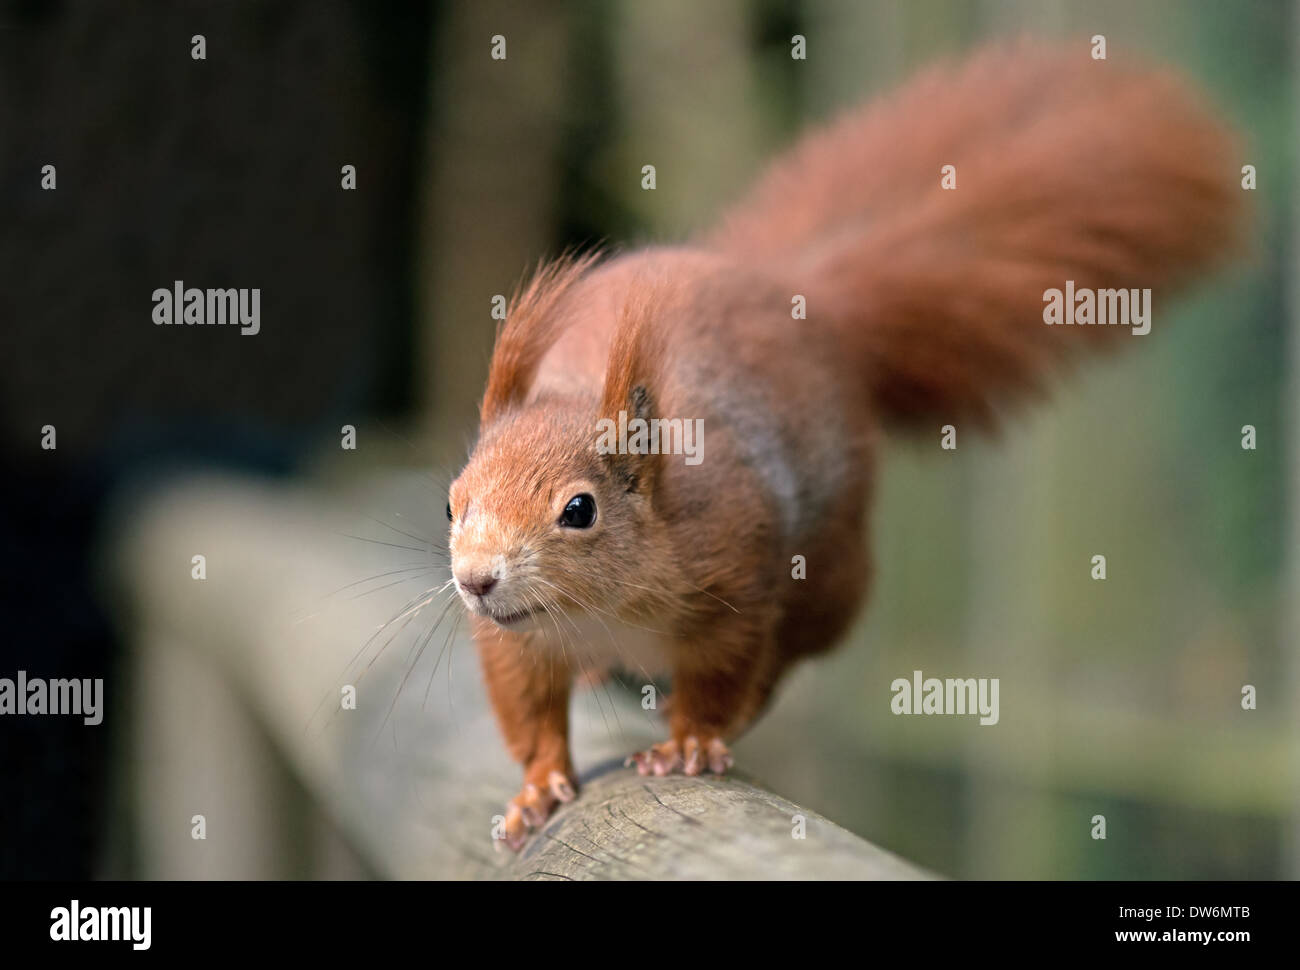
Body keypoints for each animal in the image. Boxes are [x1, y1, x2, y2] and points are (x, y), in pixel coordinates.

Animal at [446, 42, 1245, 849]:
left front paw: (690, 741)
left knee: (784, 663)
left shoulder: (733, 575)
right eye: (452, 505)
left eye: (579, 510)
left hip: (828, 576)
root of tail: (804, 301)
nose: (475, 581)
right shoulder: (514, 643)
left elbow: (723, 676)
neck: (596, 609)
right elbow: (529, 715)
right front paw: (537, 789)